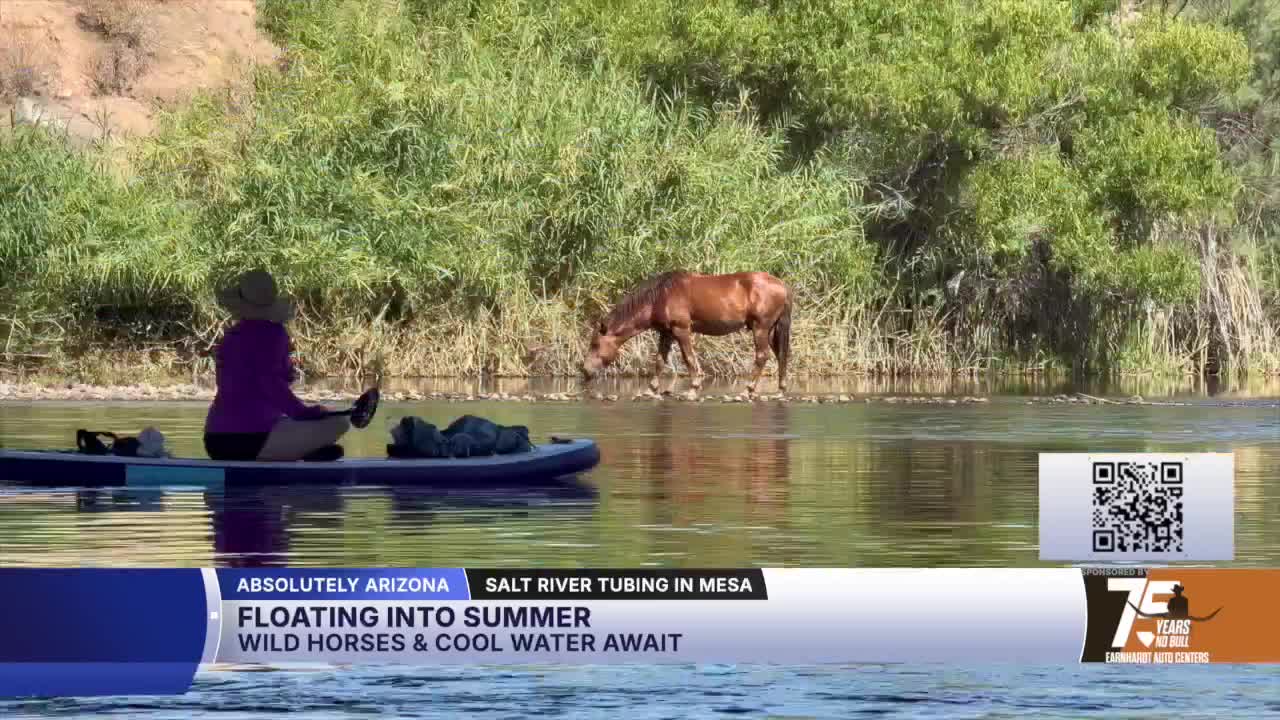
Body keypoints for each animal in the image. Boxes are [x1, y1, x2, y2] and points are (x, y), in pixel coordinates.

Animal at [579, 271, 792, 397]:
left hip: (761, 328)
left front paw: (693, 387)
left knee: (762, 356)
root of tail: (782, 285)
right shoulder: (666, 333)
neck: (660, 297)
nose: (585, 370)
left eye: (595, 345)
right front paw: (651, 389)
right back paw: (781, 389)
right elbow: (659, 361)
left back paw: (748, 389)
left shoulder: (681, 330)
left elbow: (688, 358)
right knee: (781, 354)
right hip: (772, 329)